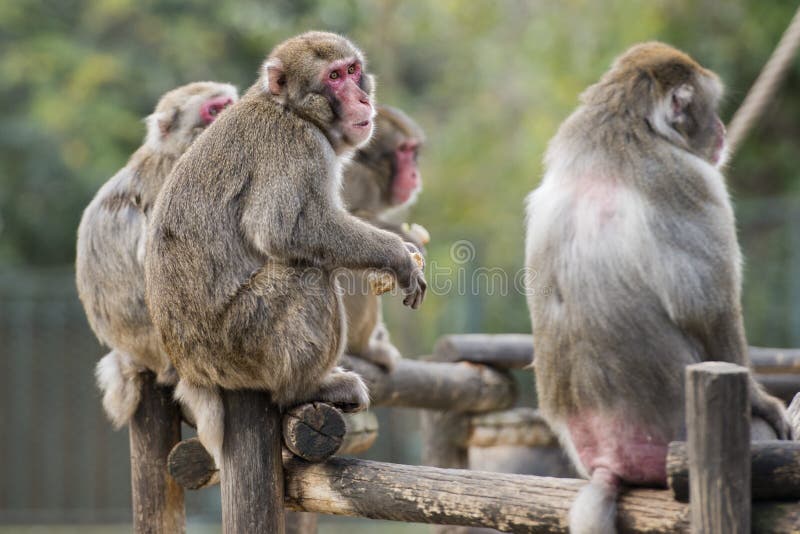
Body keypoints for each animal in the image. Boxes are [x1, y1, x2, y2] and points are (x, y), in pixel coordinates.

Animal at [340, 105, 427, 371]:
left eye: (412, 151)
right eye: (402, 150)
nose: (414, 174)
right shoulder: (358, 179)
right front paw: (407, 240)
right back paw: (364, 348)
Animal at [524, 42, 791, 534]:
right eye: (709, 106)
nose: (722, 129)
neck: (621, 124)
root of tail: (608, 459)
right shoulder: (689, 179)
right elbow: (707, 308)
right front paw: (764, 402)